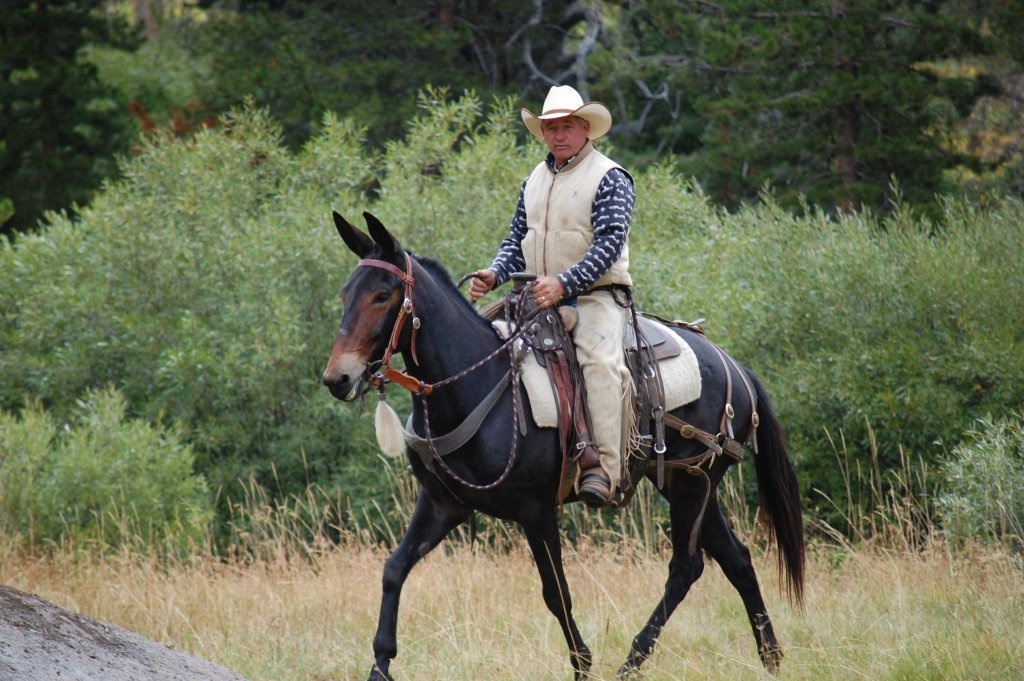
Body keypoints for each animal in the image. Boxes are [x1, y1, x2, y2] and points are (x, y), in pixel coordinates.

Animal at [321, 211, 805, 681]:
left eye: (382, 294)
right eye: (346, 293)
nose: (338, 378)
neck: (478, 384)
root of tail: (736, 368)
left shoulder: (535, 509)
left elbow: (556, 592)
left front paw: (583, 665)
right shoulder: (444, 504)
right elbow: (394, 569)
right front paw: (380, 664)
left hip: (692, 484)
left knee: (686, 568)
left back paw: (631, 664)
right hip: (687, 484)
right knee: (735, 559)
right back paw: (771, 659)